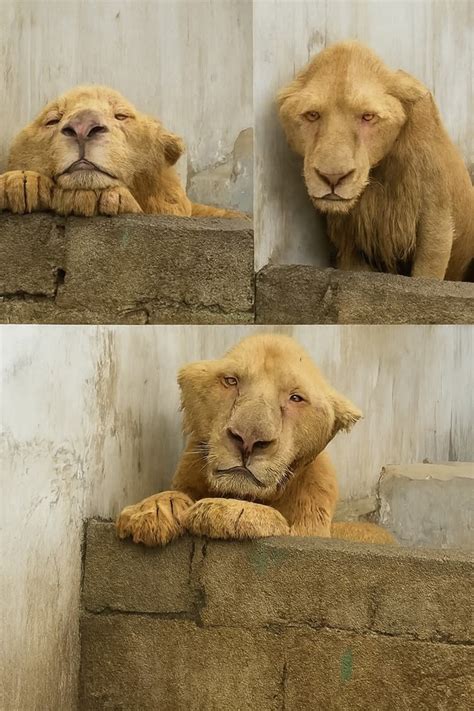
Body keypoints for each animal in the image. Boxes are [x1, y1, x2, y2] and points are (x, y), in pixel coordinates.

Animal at [117, 334, 395, 547]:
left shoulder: (312, 531)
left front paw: (227, 511)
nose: (248, 441)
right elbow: (169, 493)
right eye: (231, 380)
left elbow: (278, 523)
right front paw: (151, 510)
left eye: (296, 397)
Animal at [277, 41, 474, 281]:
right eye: (312, 115)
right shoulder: (349, 238)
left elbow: (428, 269)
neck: (377, 174)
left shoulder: (436, 215)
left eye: (368, 116)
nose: (333, 178)